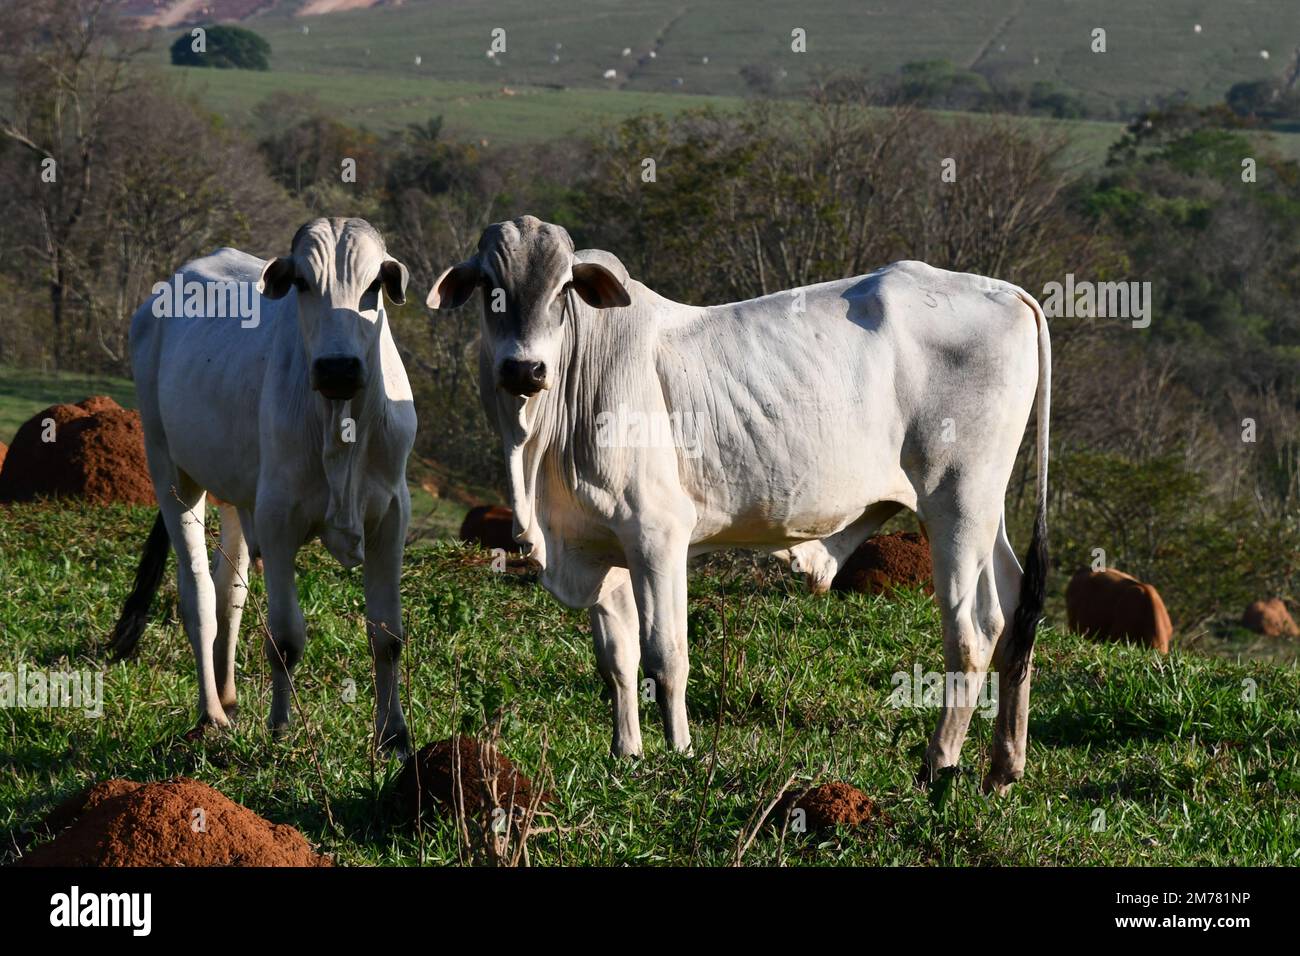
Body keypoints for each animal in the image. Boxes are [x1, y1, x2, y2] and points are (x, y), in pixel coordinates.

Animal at [108, 218, 417, 756]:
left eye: (374, 285)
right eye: (302, 283)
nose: (338, 368)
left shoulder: (391, 516)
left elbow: (388, 636)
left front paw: (393, 736)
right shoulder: (277, 520)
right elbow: (286, 637)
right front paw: (280, 727)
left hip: (235, 498)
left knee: (229, 593)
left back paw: (228, 695)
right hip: (170, 471)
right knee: (199, 597)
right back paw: (211, 713)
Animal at [427, 216, 1050, 794]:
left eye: (563, 290)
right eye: (490, 288)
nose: (524, 369)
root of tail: (1007, 291)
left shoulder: (657, 536)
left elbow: (665, 655)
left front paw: (680, 752)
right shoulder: (602, 547)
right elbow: (617, 662)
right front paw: (625, 753)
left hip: (957, 503)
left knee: (973, 631)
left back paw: (938, 763)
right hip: (984, 511)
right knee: (1015, 618)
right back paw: (1003, 767)